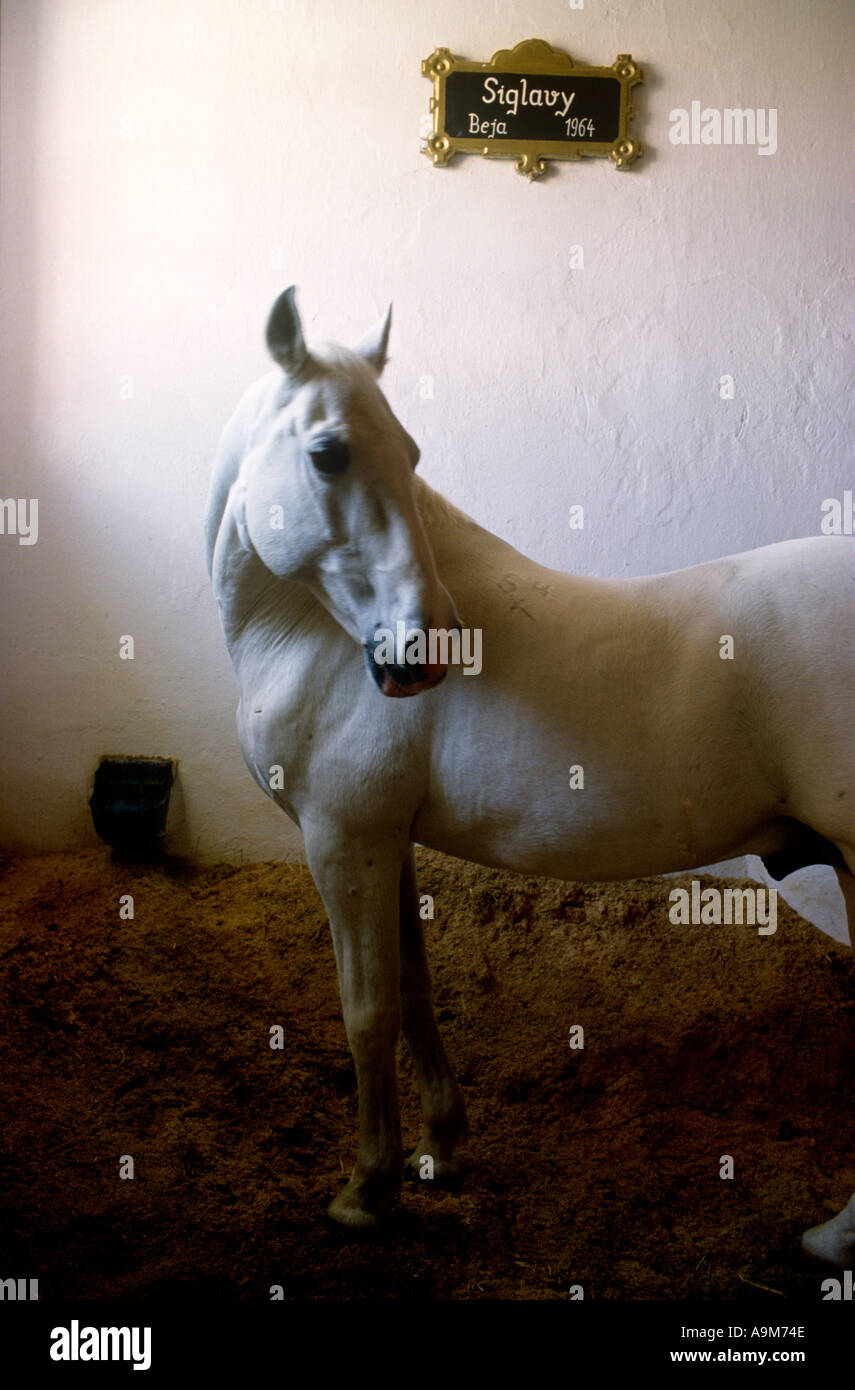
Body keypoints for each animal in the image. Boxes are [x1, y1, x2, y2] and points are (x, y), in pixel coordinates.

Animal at [205, 286, 855, 1265]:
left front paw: (365, 1192)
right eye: (328, 452)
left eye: (410, 455)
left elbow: (367, 1012)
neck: (308, 631)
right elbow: (413, 990)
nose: (422, 654)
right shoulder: (385, 842)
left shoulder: (342, 839)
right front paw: (439, 1152)